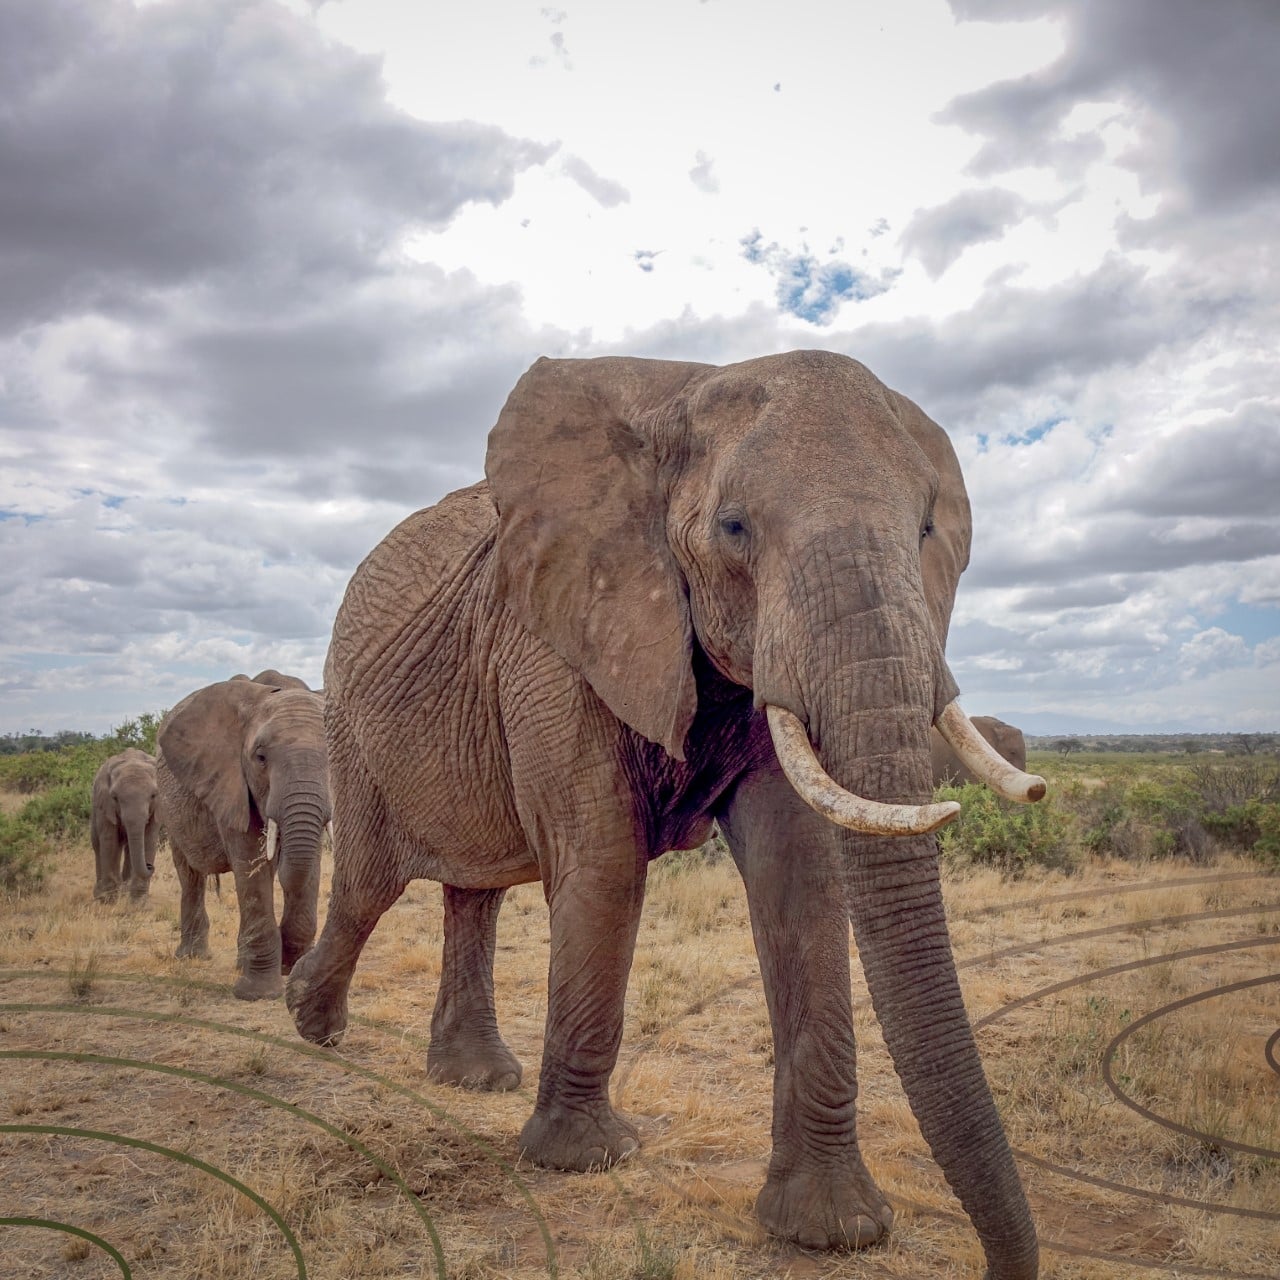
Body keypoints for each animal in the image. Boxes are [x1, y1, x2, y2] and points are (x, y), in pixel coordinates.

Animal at [89, 748, 160, 903]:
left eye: (153, 796)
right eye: (115, 798)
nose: (150, 866)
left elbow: (149, 840)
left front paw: (139, 904)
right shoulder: (106, 804)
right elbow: (110, 841)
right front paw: (108, 900)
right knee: (98, 845)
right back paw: (101, 893)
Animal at [157, 669, 332, 1000]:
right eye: (260, 758)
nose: (289, 962)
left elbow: (309, 865)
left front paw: (292, 970)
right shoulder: (230, 782)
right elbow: (251, 865)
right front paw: (259, 993)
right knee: (190, 874)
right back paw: (192, 956)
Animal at [286, 350, 1046, 1277]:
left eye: (930, 529)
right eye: (733, 527)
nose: (999, 1264)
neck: (684, 393)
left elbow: (799, 875)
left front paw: (835, 1230)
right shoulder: (558, 627)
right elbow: (605, 860)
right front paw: (582, 1160)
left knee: (475, 891)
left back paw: (473, 1079)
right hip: (350, 727)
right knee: (369, 883)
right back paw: (308, 1021)